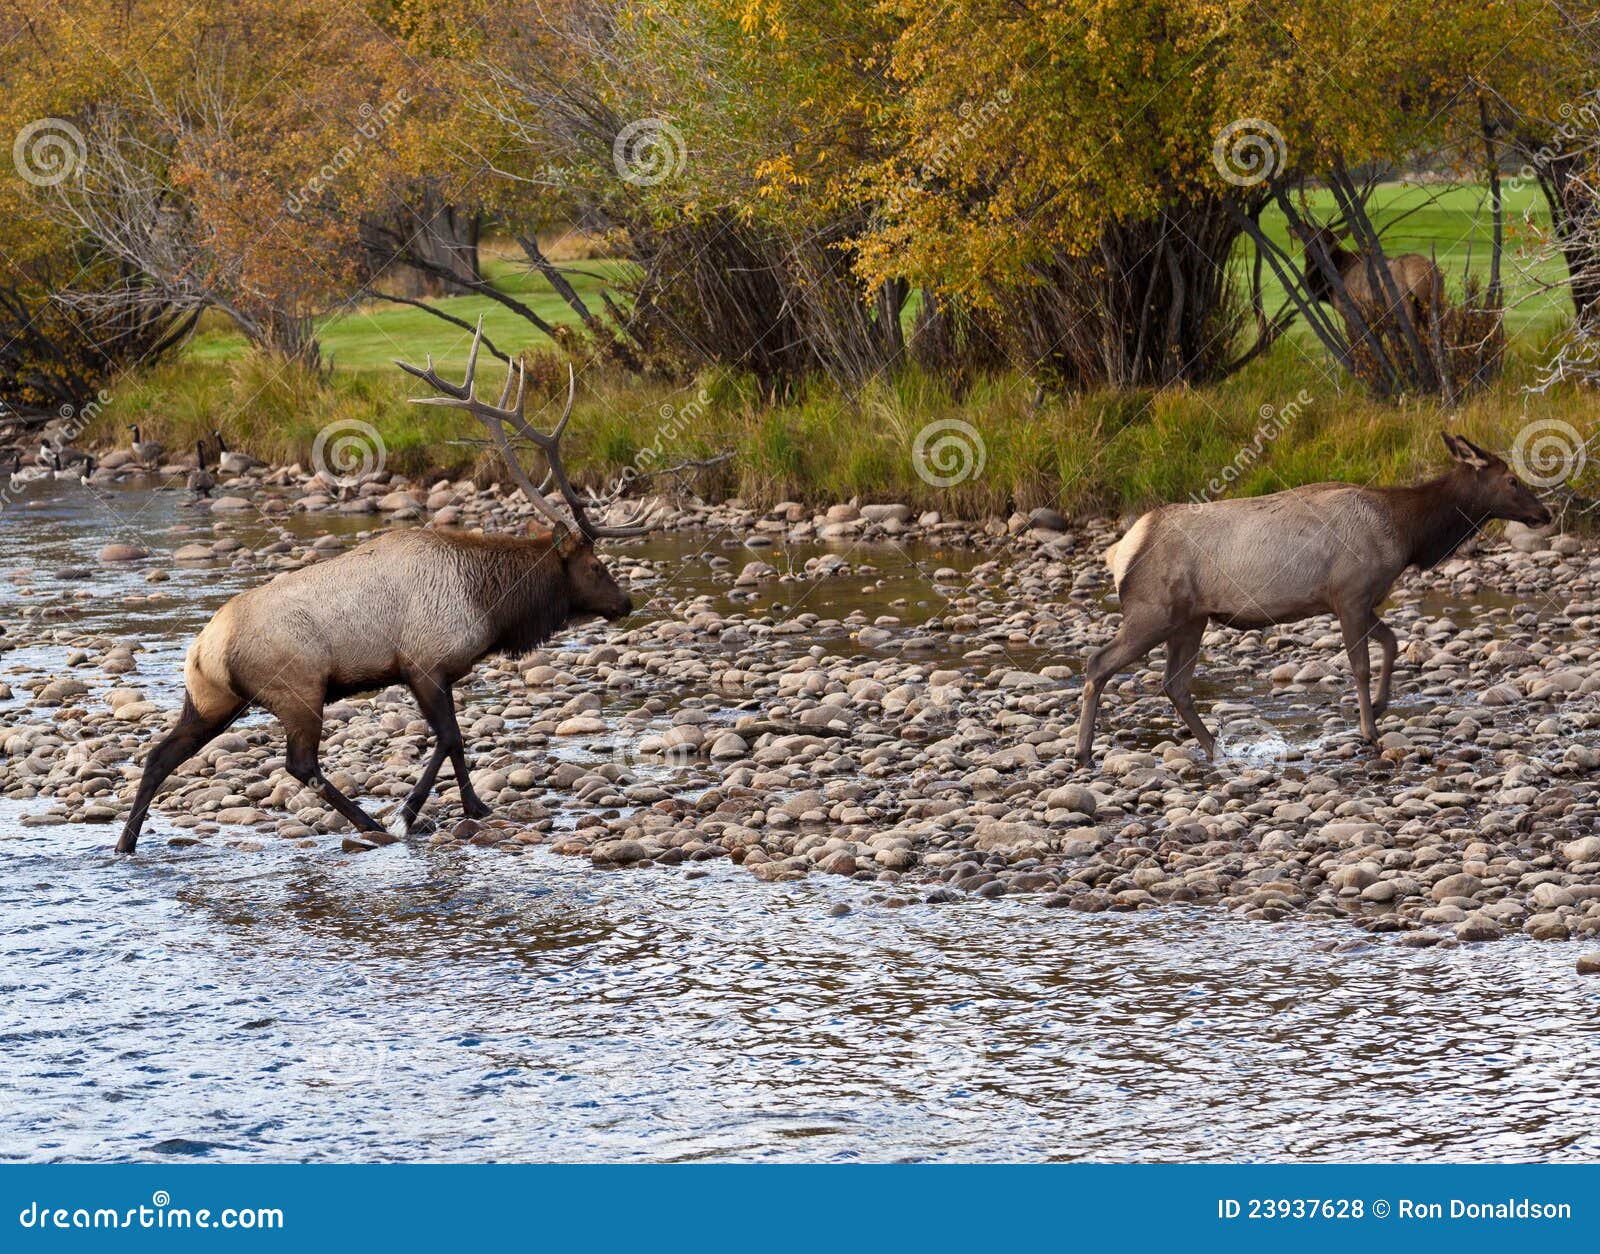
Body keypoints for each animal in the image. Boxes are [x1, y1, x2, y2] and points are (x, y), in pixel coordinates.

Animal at [117, 320, 653, 854]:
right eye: (595, 566)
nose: (625, 602)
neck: (490, 605)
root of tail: (204, 649)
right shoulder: (424, 663)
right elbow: (450, 738)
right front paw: (411, 813)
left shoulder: (433, 671)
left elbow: (453, 740)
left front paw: (471, 807)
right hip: (299, 690)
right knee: (300, 764)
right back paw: (369, 823)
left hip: (213, 700)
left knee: (161, 754)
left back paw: (125, 843)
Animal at [1074, 433, 1552, 768]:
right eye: (1512, 480)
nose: (1544, 513)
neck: (1406, 534)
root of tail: (1120, 551)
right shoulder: (1349, 593)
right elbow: (1360, 666)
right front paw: (1368, 729)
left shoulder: (1358, 599)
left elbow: (1392, 642)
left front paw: (1381, 705)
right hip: (1153, 611)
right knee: (1099, 663)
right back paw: (1083, 753)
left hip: (1192, 619)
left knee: (1174, 683)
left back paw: (1215, 748)